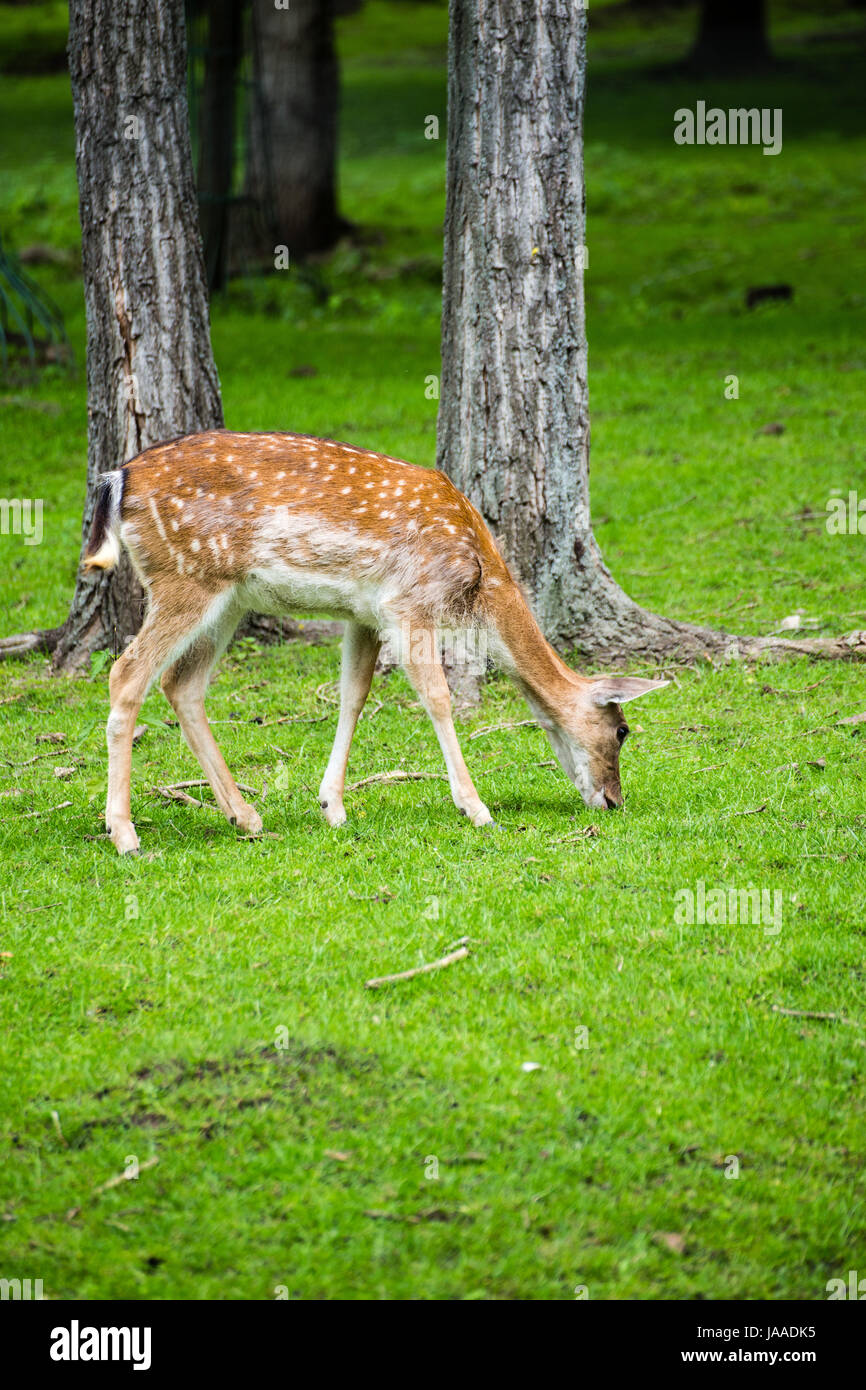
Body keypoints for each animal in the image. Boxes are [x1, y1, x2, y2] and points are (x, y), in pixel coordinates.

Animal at [83, 430, 668, 855]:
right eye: (622, 730)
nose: (613, 801)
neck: (479, 582)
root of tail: (117, 479)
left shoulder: (362, 613)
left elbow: (354, 695)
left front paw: (333, 807)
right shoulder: (407, 603)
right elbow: (438, 697)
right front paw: (476, 809)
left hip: (228, 598)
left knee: (182, 685)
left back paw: (244, 815)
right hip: (185, 578)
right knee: (126, 673)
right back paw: (125, 834)